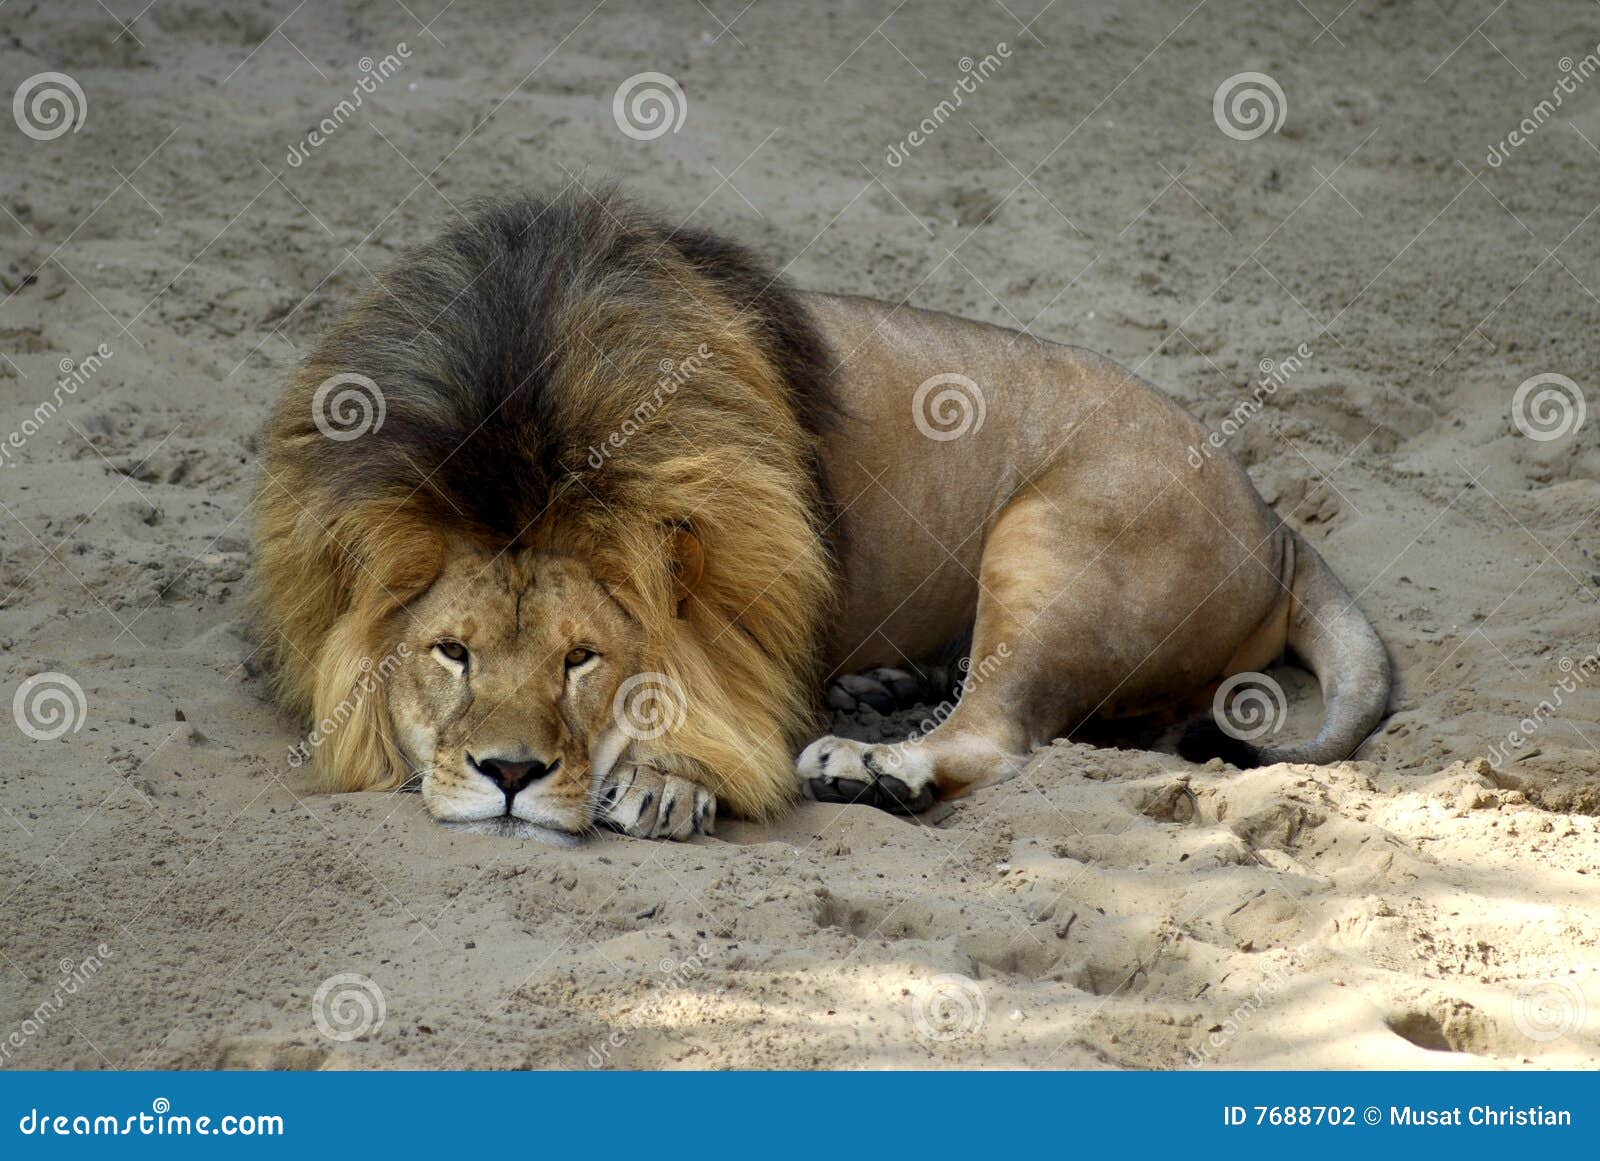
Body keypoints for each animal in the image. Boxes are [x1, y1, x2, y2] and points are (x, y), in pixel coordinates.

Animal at [253, 187, 1391, 841]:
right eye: (450, 652)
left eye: (583, 659)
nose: (509, 776)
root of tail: (1278, 526)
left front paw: (672, 781)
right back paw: (889, 685)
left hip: (1050, 536)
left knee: (1004, 731)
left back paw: (877, 763)